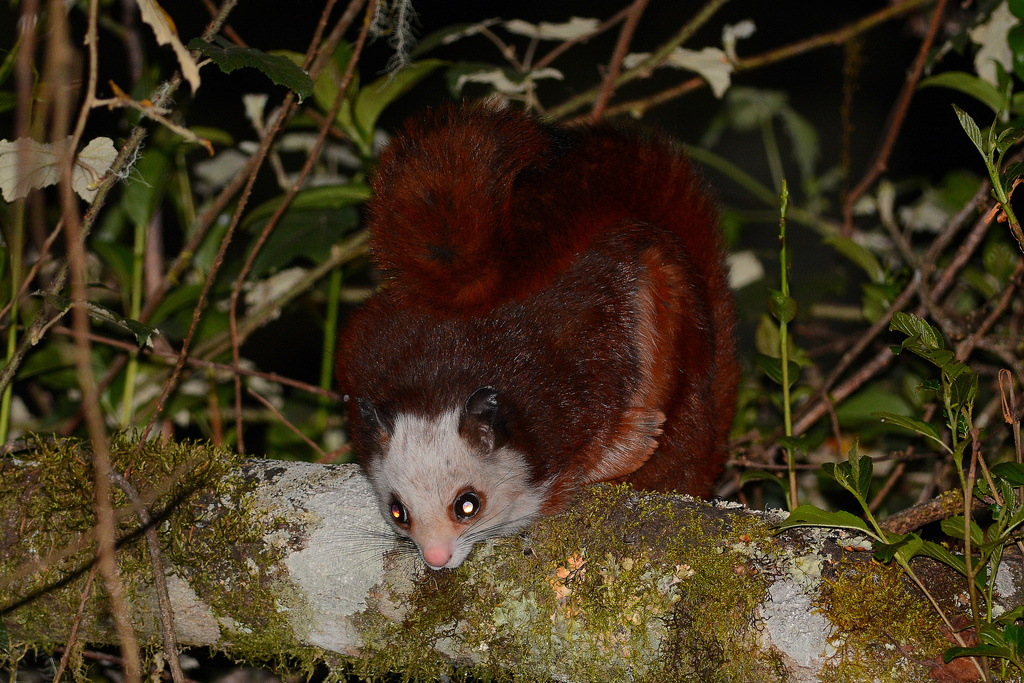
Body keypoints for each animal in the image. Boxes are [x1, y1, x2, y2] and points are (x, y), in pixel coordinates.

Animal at [336, 103, 739, 570]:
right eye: (398, 512)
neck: (439, 381)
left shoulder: (580, 389)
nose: (436, 559)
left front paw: (625, 446)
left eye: (468, 505)